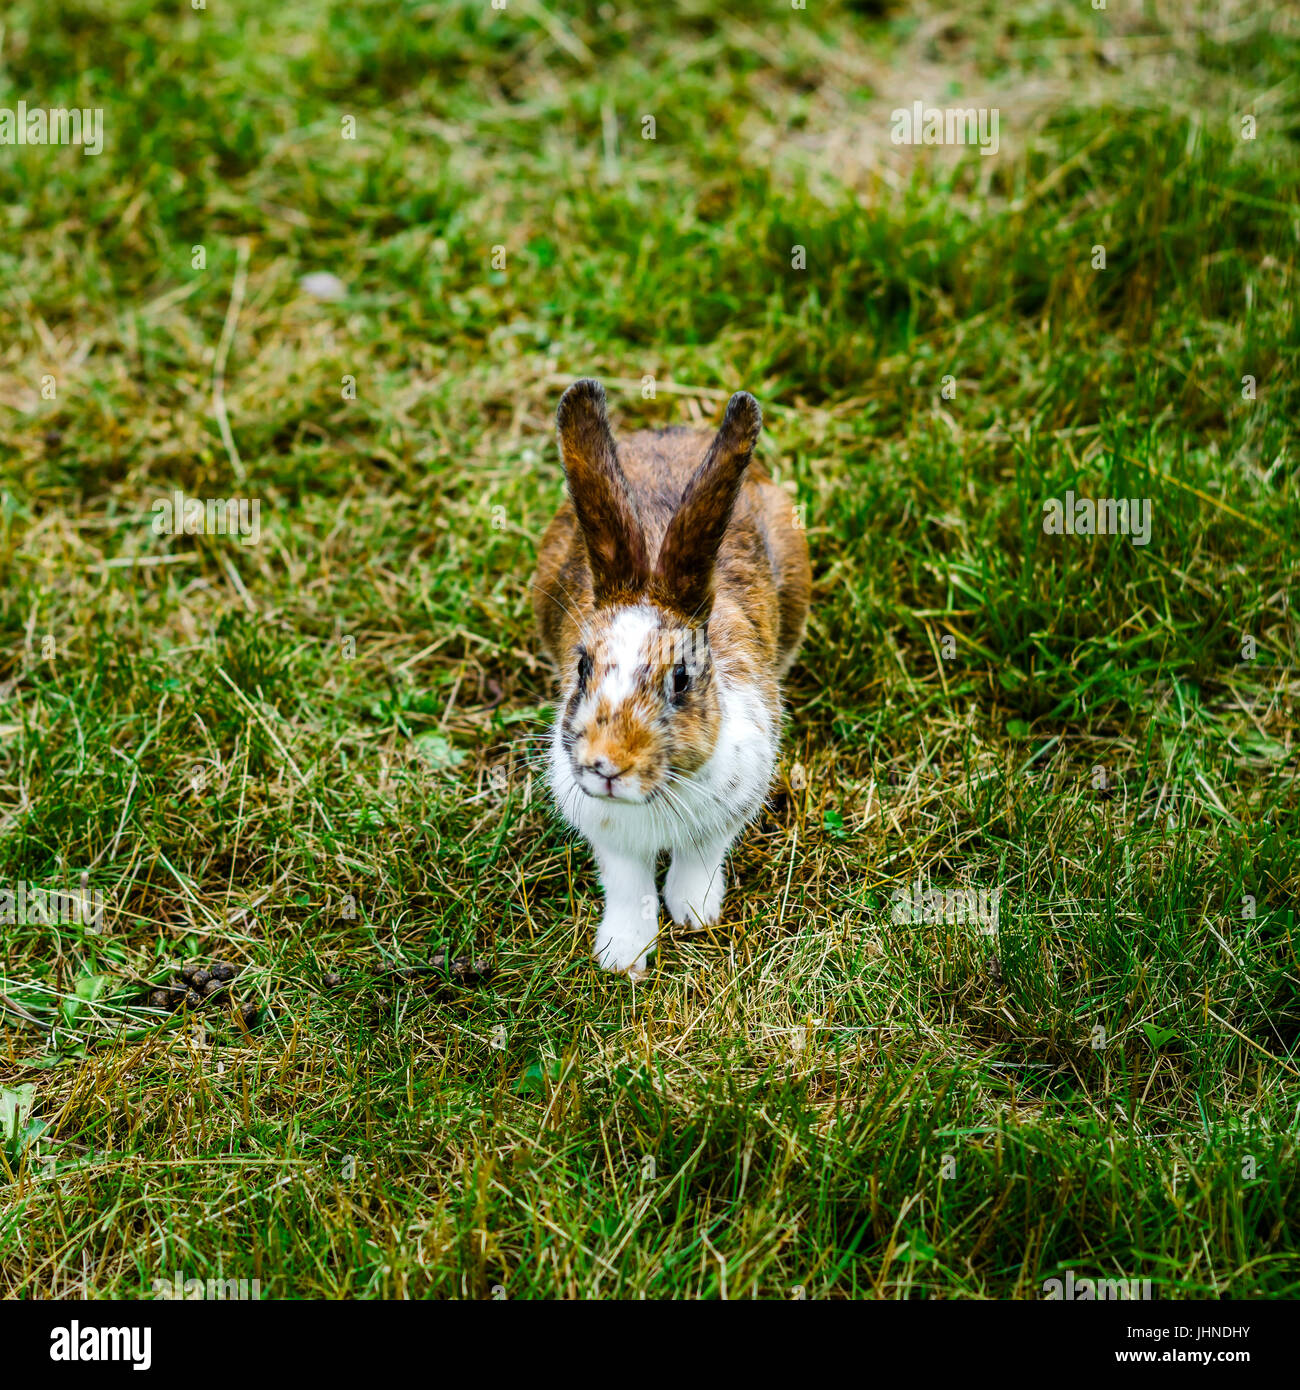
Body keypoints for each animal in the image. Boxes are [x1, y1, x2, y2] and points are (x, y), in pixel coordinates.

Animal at [533, 379, 811, 979]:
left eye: (681, 678)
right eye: (582, 666)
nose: (606, 765)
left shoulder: (729, 811)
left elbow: (700, 859)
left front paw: (694, 914)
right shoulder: (609, 839)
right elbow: (627, 884)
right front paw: (623, 955)